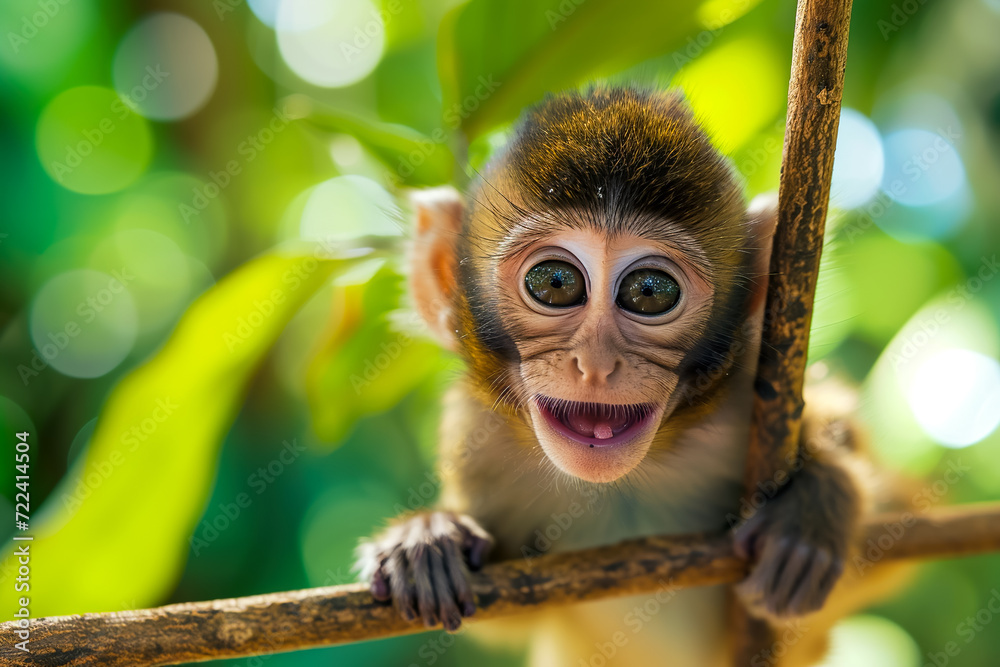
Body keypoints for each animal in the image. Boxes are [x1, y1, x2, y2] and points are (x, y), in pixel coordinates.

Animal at [355, 87, 912, 666]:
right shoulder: (474, 438)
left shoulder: (747, 396)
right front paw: (426, 538)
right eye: (555, 282)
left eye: (649, 291)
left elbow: (898, 526)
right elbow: (509, 613)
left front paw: (813, 508)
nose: (596, 362)